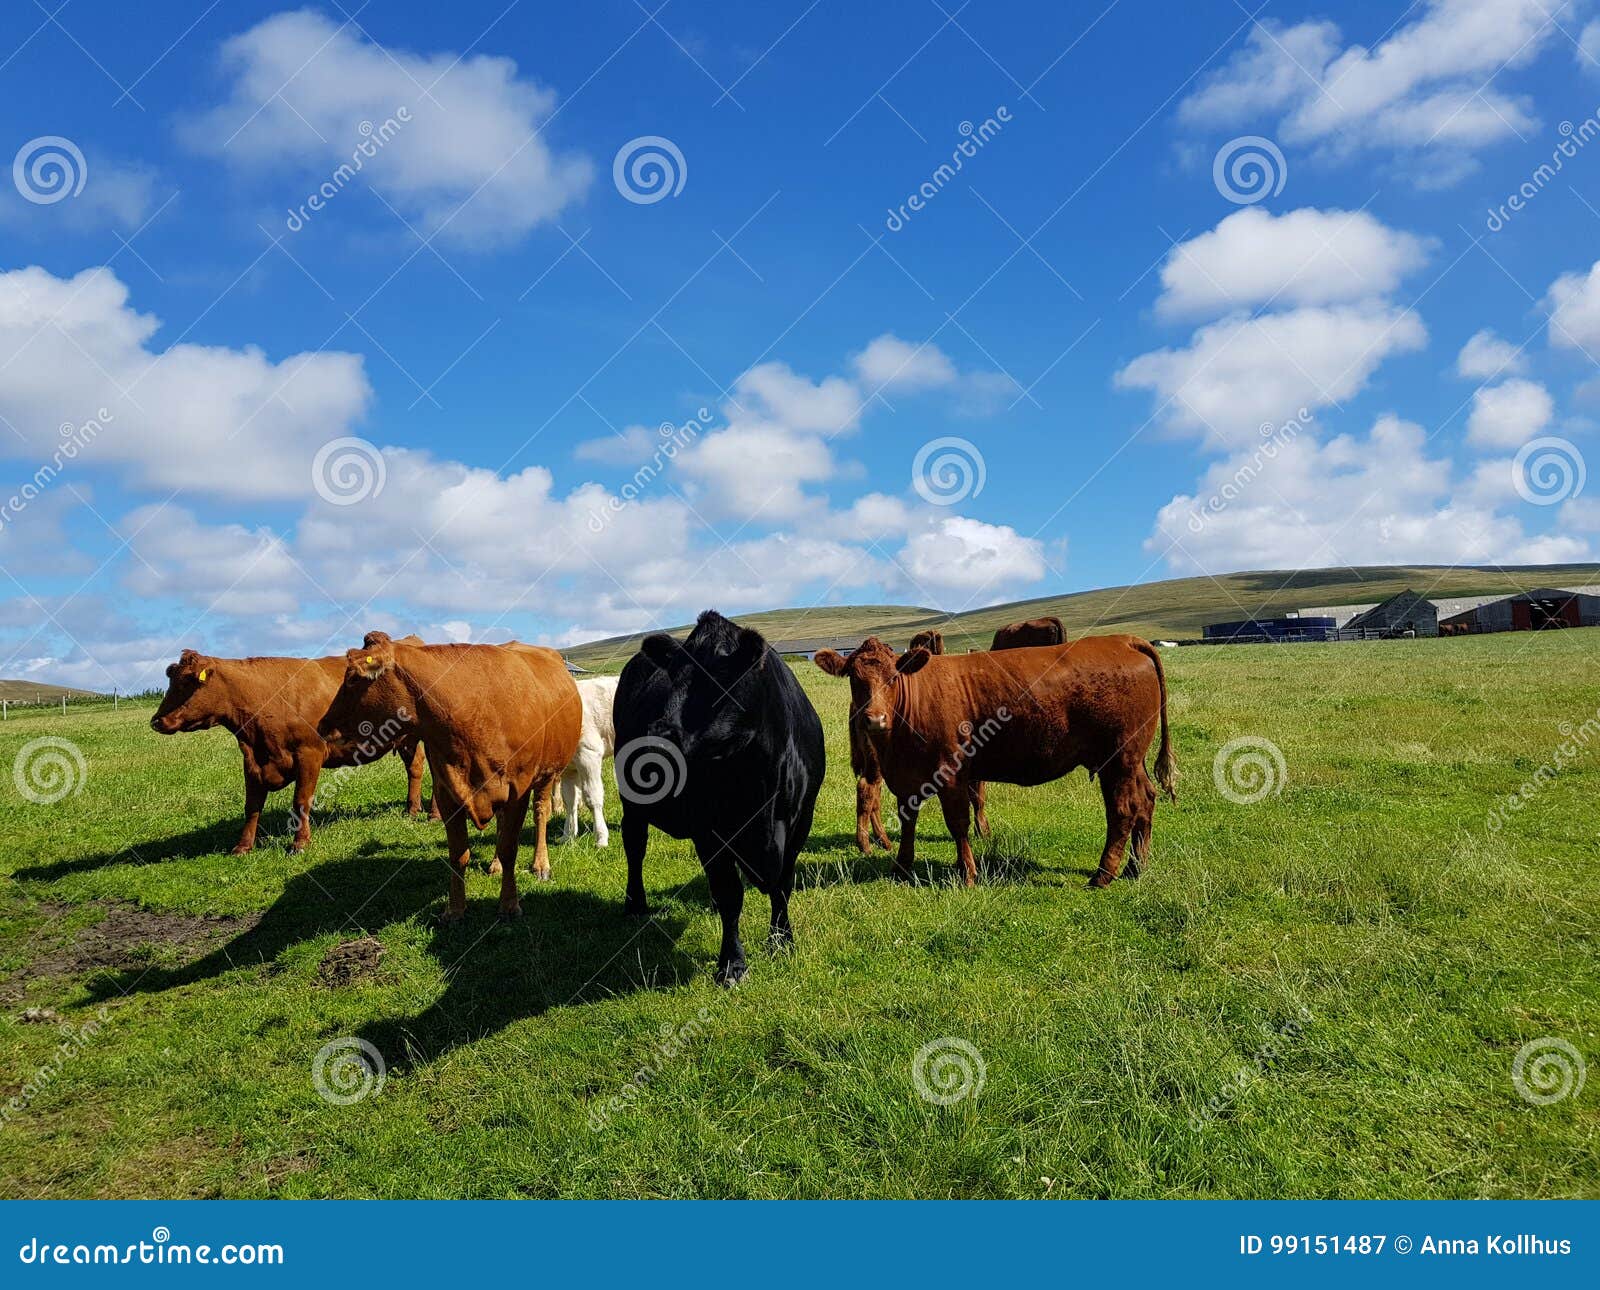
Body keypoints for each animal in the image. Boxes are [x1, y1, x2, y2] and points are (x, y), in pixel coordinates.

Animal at [150, 648, 433, 853]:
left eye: (187, 682)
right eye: (171, 681)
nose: (156, 721)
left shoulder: (310, 754)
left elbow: (301, 801)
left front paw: (300, 843)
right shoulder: (251, 760)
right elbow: (251, 806)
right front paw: (243, 847)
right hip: (407, 740)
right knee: (415, 767)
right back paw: (412, 809)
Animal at [317, 632, 581, 922]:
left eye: (353, 678)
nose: (321, 725)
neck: (474, 714)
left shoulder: (517, 792)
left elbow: (510, 849)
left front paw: (509, 905)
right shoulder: (447, 792)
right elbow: (458, 855)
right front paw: (454, 909)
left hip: (547, 773)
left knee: (541, 812)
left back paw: (540, 864)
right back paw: (495, 865)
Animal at [557, 675, 619, 847]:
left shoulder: (589, 754)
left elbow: (593, 797)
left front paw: (601, 838)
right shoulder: (568, 770)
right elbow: (569, 801)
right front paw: (568, 836)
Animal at [614, 611, 824, 984]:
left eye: (721, 678)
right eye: (673, 676)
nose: (656, 737)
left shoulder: (802, 820)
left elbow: (783, 884)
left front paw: (782, 941)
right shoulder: (707, 828)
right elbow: (729, 893)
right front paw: (732, 964)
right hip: (632, 804)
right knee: (635, 846)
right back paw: (635, 904)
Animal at [814, 634, 1175, 888]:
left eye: (894, 676)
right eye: (854, 678)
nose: (874, 719)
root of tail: (1124, 640)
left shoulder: (952, 773)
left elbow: (958, 822)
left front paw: (967, 872)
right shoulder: (905, 777)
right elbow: (908, 819)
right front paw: (902, 866)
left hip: (1119, 759)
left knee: (1123, 810)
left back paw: (1103, 875)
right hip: (1132, 761)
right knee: (1146, 800)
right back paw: (1135, 867)